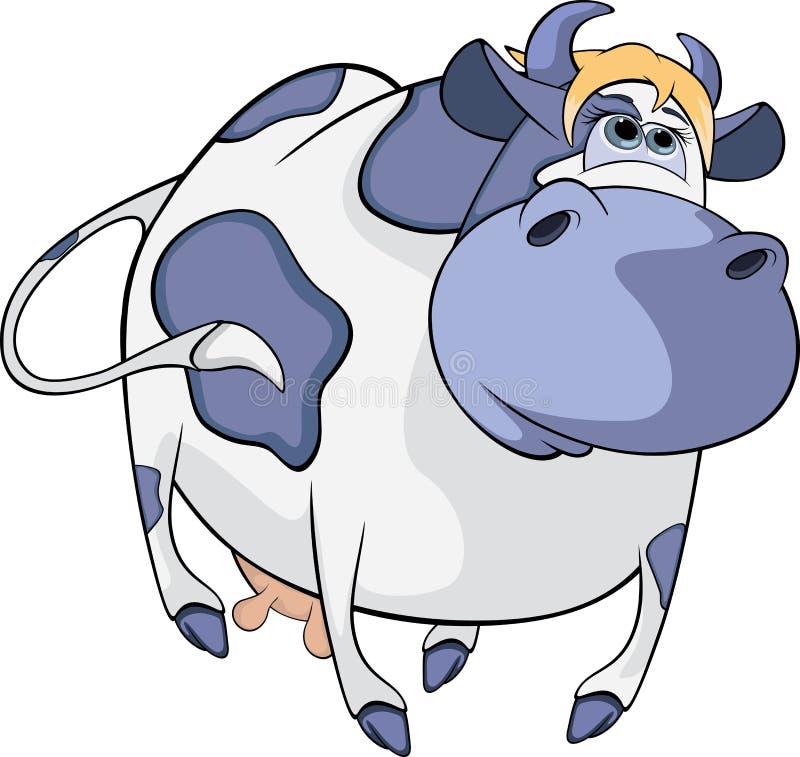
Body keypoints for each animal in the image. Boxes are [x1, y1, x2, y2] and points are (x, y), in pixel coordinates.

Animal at [2, 2, 797, 753]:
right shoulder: (338, 498)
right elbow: (339, 604)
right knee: (153, 496)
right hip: (151, 401)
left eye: (673, 149)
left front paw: (593, 704)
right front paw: (381, 713)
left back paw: (447, 646)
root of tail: (186, 176)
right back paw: (199, 611)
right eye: (617, 130)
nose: (693, 265)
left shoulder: (672, 503)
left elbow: (655, 605)